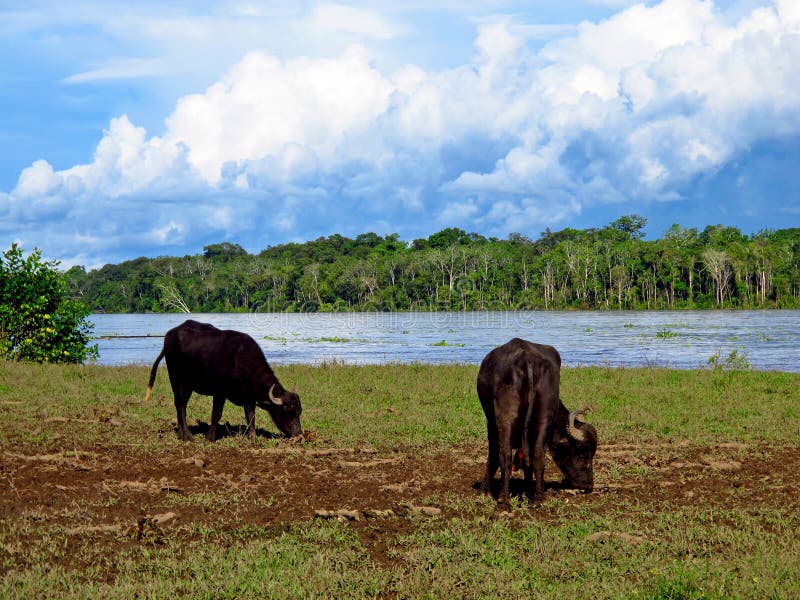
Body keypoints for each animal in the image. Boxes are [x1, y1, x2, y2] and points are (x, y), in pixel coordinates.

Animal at [145, 320, 302, 442]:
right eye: (287, 411)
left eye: (299, 411)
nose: (299, 435)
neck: (240, 361)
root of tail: (170, 335)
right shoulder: (219, 393)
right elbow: (217, 414)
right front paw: (210, 437)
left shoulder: (249, 398)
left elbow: (251, 416)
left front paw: (252, 437)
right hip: (178, 381)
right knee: (180, 405)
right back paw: (188, 436)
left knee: (180, 405)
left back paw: (180, 433)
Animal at [477, 338, 597, 506]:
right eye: (583, 453)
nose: (588, 484)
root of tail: (527, 359)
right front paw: (528, 489)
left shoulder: (491, 425)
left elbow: (494, 455)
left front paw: (484, 490)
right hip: (544, 412)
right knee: (538, 453)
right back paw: (538, 498)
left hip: (505, 418)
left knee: (505, 454)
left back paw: (504, 498)